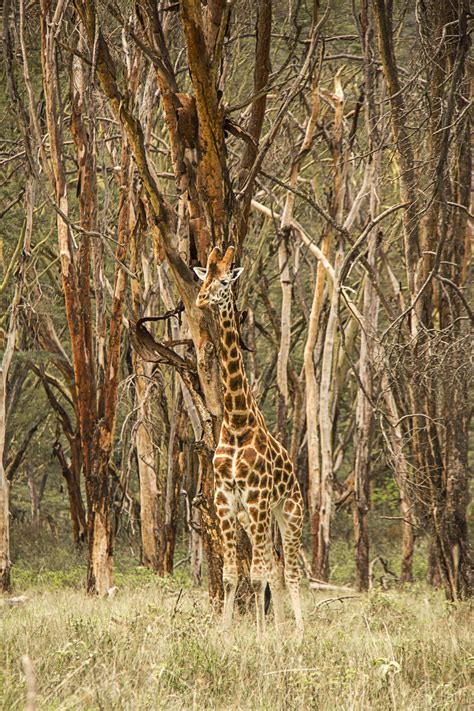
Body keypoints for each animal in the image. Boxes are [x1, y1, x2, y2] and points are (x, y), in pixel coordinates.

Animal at [194, 245, 304, 636]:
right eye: (204, 277)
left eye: (225, 281)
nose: (200, 300)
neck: (238, 422)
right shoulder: (225, 501)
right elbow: (230, 576)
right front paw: (226, 634)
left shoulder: (255, 499)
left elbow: (257, 577)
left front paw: (260, 635)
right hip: (260, 518)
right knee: (275, 568)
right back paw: (282, 627)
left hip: (289, 513)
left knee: (290, 571)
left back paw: (297, 630)